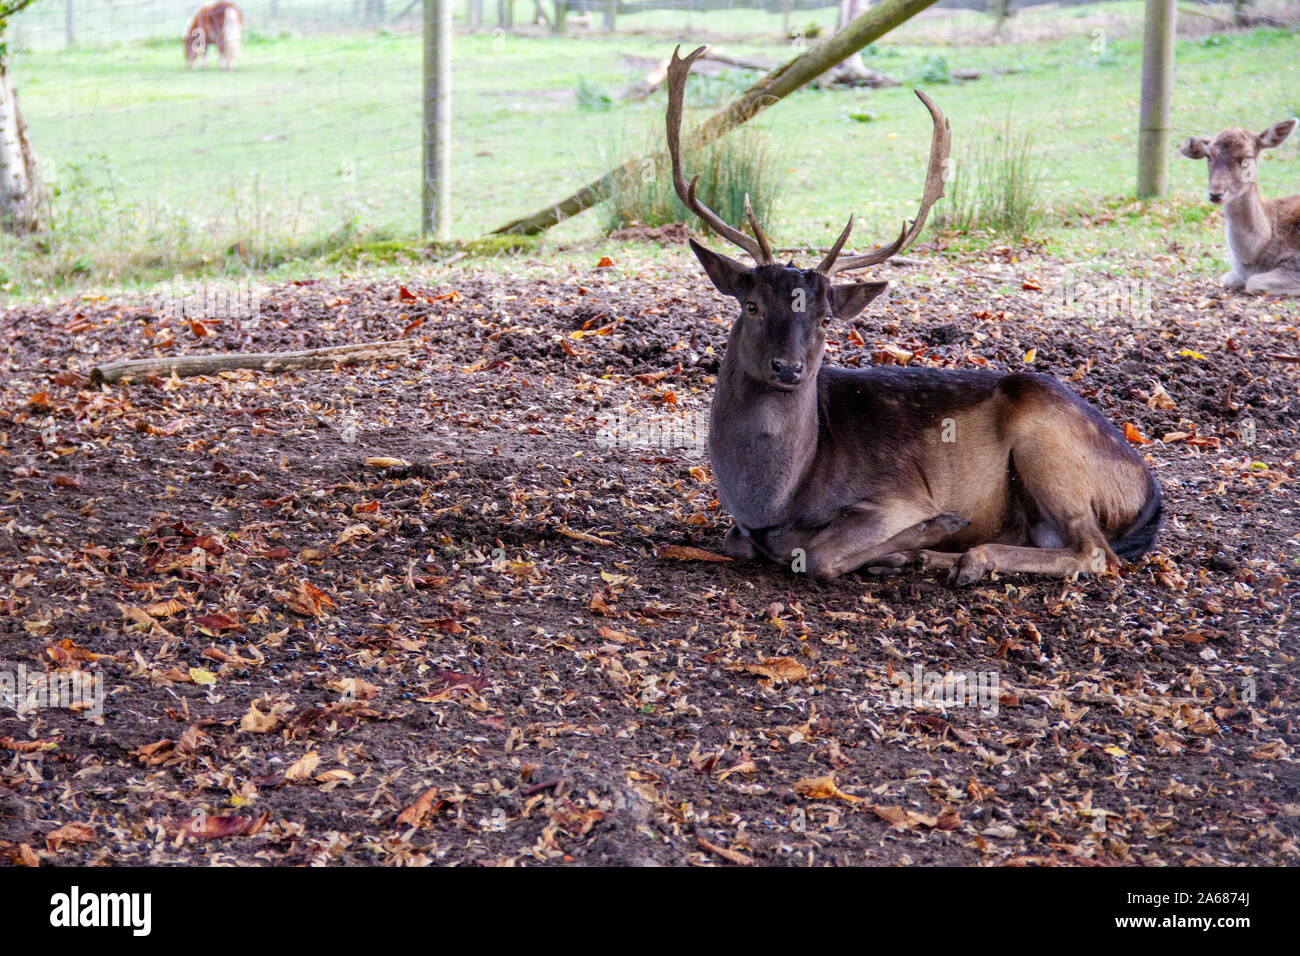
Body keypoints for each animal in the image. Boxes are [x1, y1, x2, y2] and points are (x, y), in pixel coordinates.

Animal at [665, 46, 1162, 584]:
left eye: (825, 319)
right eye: (752, 305)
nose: (789, 368)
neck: (771, 503)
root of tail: (1147, 489)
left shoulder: (897, 496)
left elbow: (818, 554)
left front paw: (931, 528)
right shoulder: (741, 528)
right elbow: (737, 541)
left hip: (1049, 445)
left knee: (1096, 553)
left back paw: (961, 555)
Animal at [1180, 117, 1300, 295]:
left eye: (1247, 157)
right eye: (1208, 156)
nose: (1215, 193)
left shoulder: (1295, 261)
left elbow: (1253, 282)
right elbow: (1227, 278)